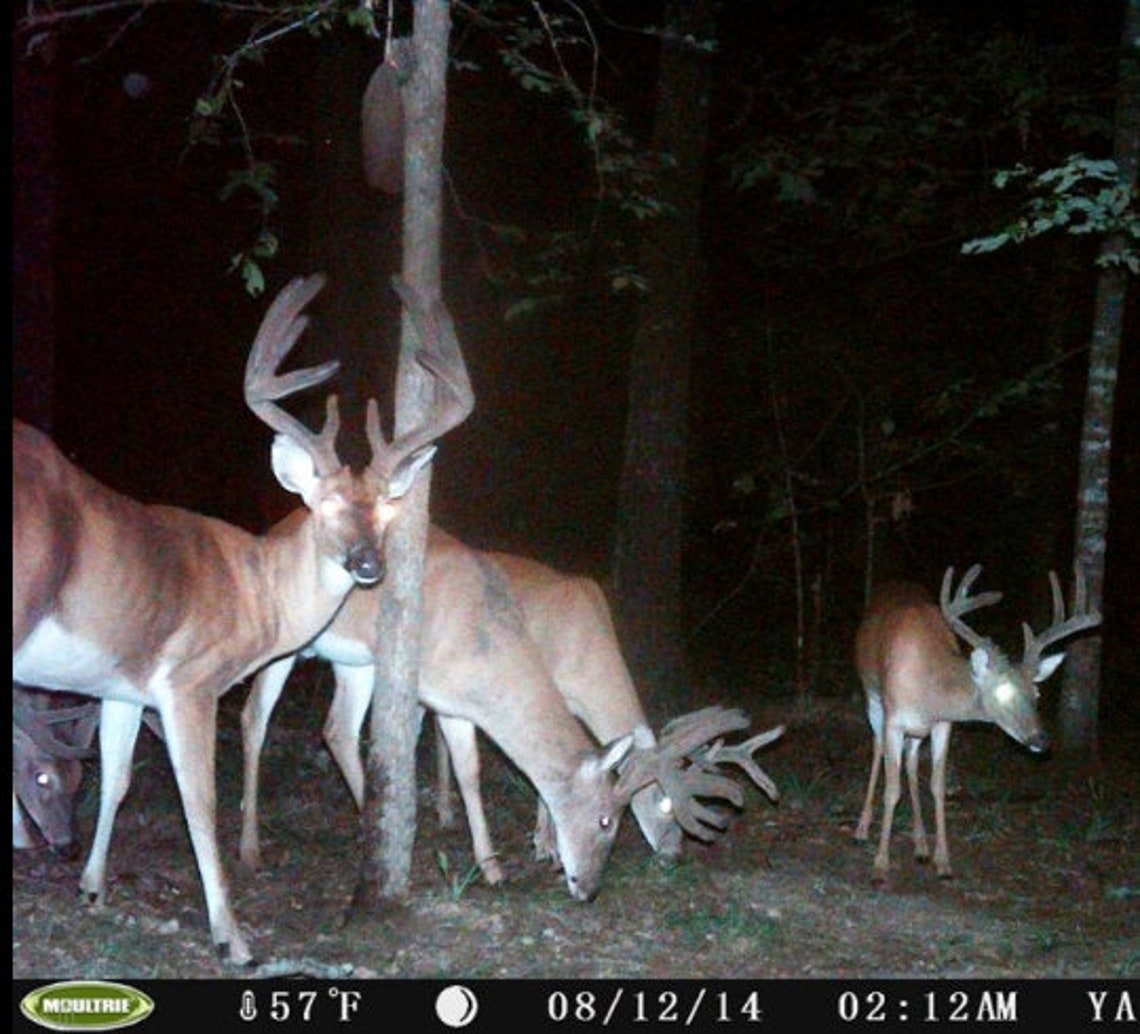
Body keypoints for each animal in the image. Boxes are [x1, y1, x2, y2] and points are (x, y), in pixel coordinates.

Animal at [239, 527, 786, 896]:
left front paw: (529, 846)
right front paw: (543, 846)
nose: (673, 855)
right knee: (256, 717)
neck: (587, 646)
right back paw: (252, 847)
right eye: (666, 805)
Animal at [853, 563, 1102, 882]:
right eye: (1004, 691)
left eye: (1036, 692)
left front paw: (943, 862)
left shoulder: (943, 724)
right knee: (877, 749)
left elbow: (937, 787)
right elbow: (892, 790)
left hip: (916, 732)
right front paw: (880, 865)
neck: (929, 687)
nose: (1041, 739)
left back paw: (920, 845)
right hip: (873, 699)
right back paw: (861, 829)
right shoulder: (894, 719)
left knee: (911, 762)